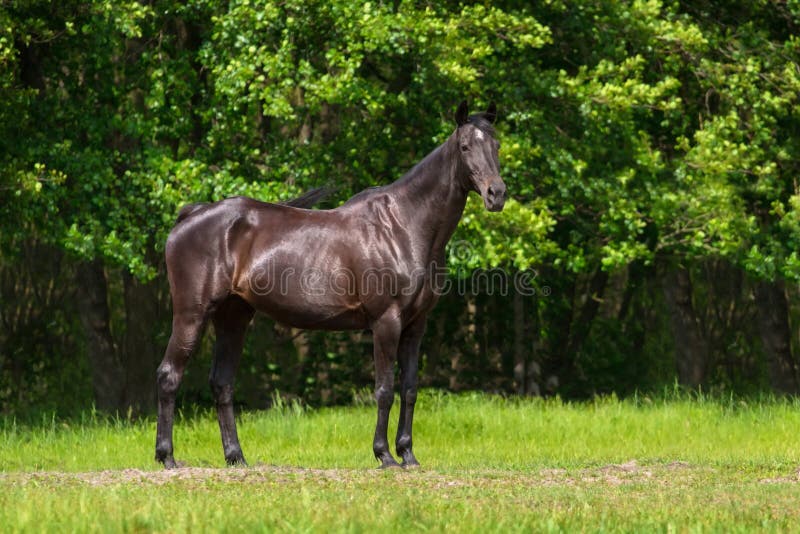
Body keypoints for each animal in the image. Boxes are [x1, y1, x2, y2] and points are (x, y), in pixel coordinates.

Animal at [155, 101, 506, 469]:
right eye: (465, 147)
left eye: (496, 145)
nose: (496, 194)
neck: (403, 226)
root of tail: (192, 215)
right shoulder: (386, 322)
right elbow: (385, 389)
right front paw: (384, 455)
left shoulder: (415, 325)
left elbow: (410, 389)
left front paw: (408, 454)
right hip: (193, 314)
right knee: (169, 375)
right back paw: (167, 457)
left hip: (233, 317)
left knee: (222, 383)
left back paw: (236, 457)